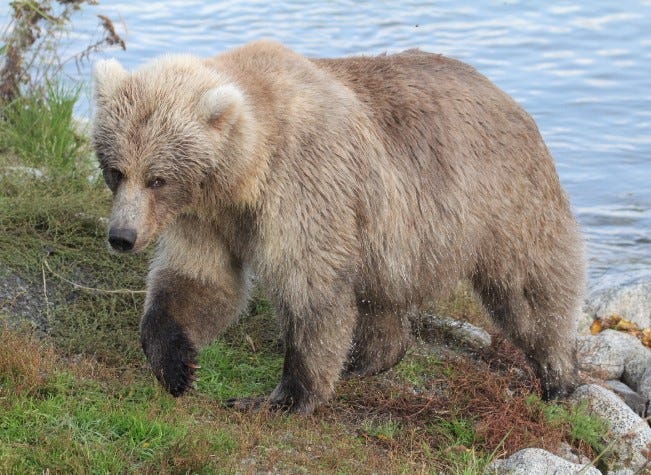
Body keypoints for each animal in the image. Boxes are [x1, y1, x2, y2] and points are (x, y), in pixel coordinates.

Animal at [92, 40, 585, 414]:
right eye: (116, 170)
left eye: (158, 178)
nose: (122, 237)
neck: (246, 173)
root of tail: (512, 100)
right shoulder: (208, 215)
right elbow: (198, 280)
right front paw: (177, 367)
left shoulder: (306, 184)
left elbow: (311, 290)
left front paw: (280, 398)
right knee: (380, 297)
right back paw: (366, 359)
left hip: (501, 201)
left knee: (530, 289)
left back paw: (558, 376)